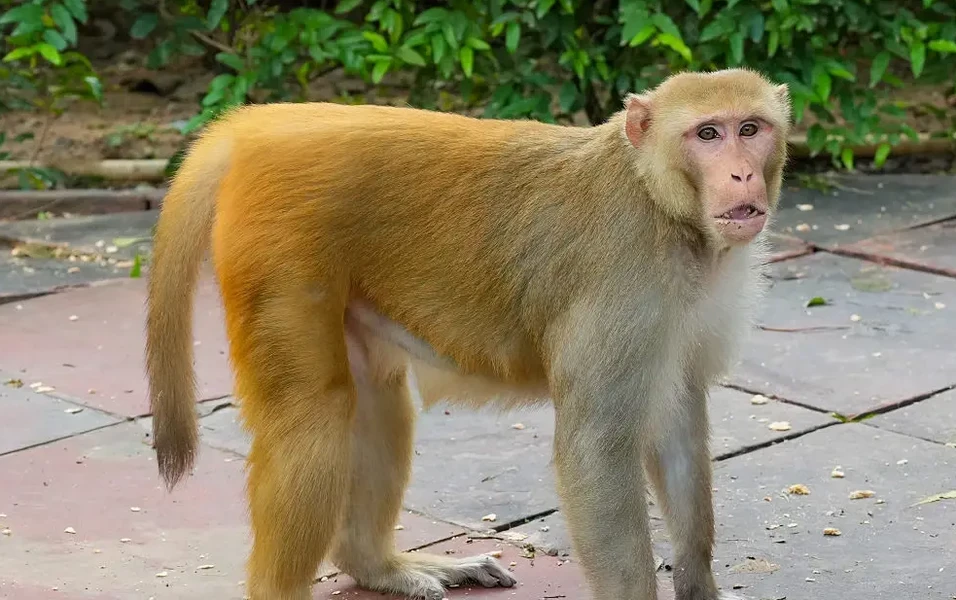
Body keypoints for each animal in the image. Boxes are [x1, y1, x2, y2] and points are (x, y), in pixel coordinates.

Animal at [145, 67, 791, 600]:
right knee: (315, 416)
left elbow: (677, 422)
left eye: (750, 128)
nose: (741, 174)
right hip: (279, 254)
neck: (665, 206)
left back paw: (378, 566)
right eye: (707, 134)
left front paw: (697, 582)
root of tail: (260, 126)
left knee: (376, 399)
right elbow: (596, 447)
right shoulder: (627, 285)